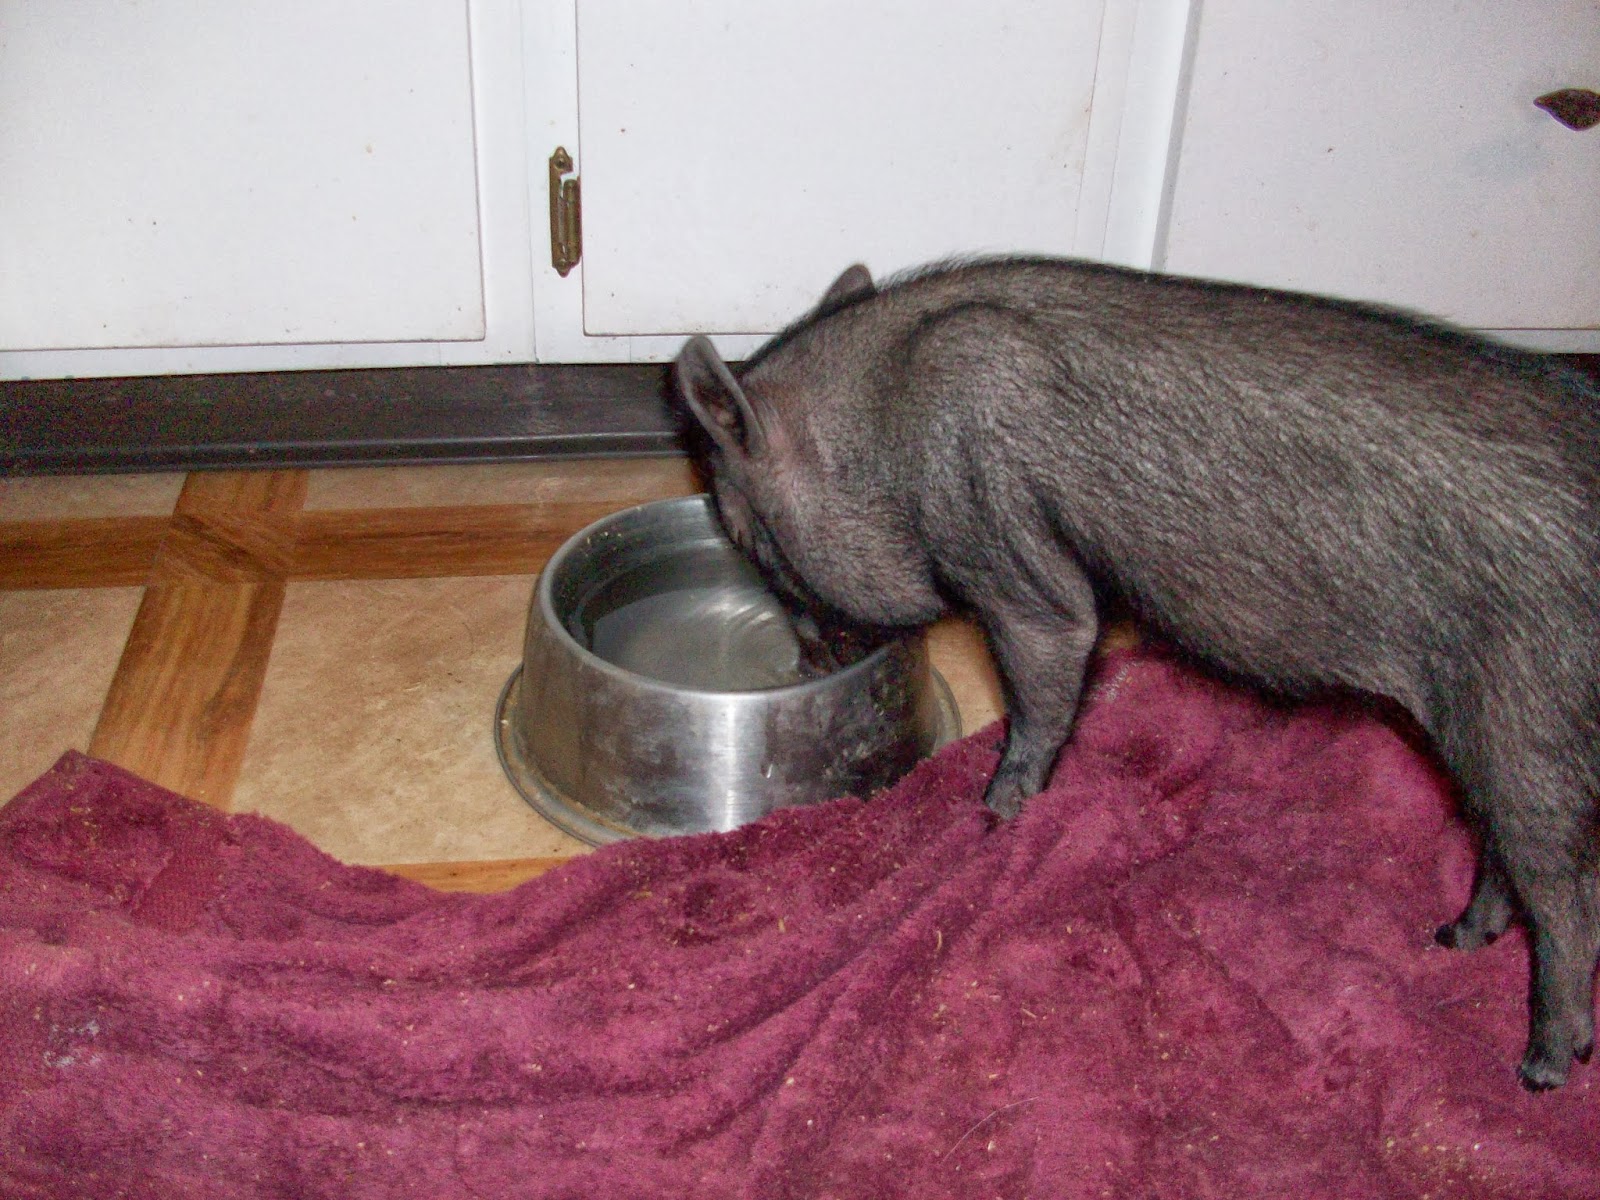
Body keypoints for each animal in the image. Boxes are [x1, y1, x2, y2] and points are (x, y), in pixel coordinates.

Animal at [672, 256, 1600, 1090]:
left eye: (753, 539)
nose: (805, 662)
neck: (885, 420)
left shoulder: (1005, 546)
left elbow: (1050, 667)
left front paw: (994, 815)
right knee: (1498, 846)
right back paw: (1453, 940)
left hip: (1531, 707)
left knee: (1564, 888)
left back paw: (1542, 1070)